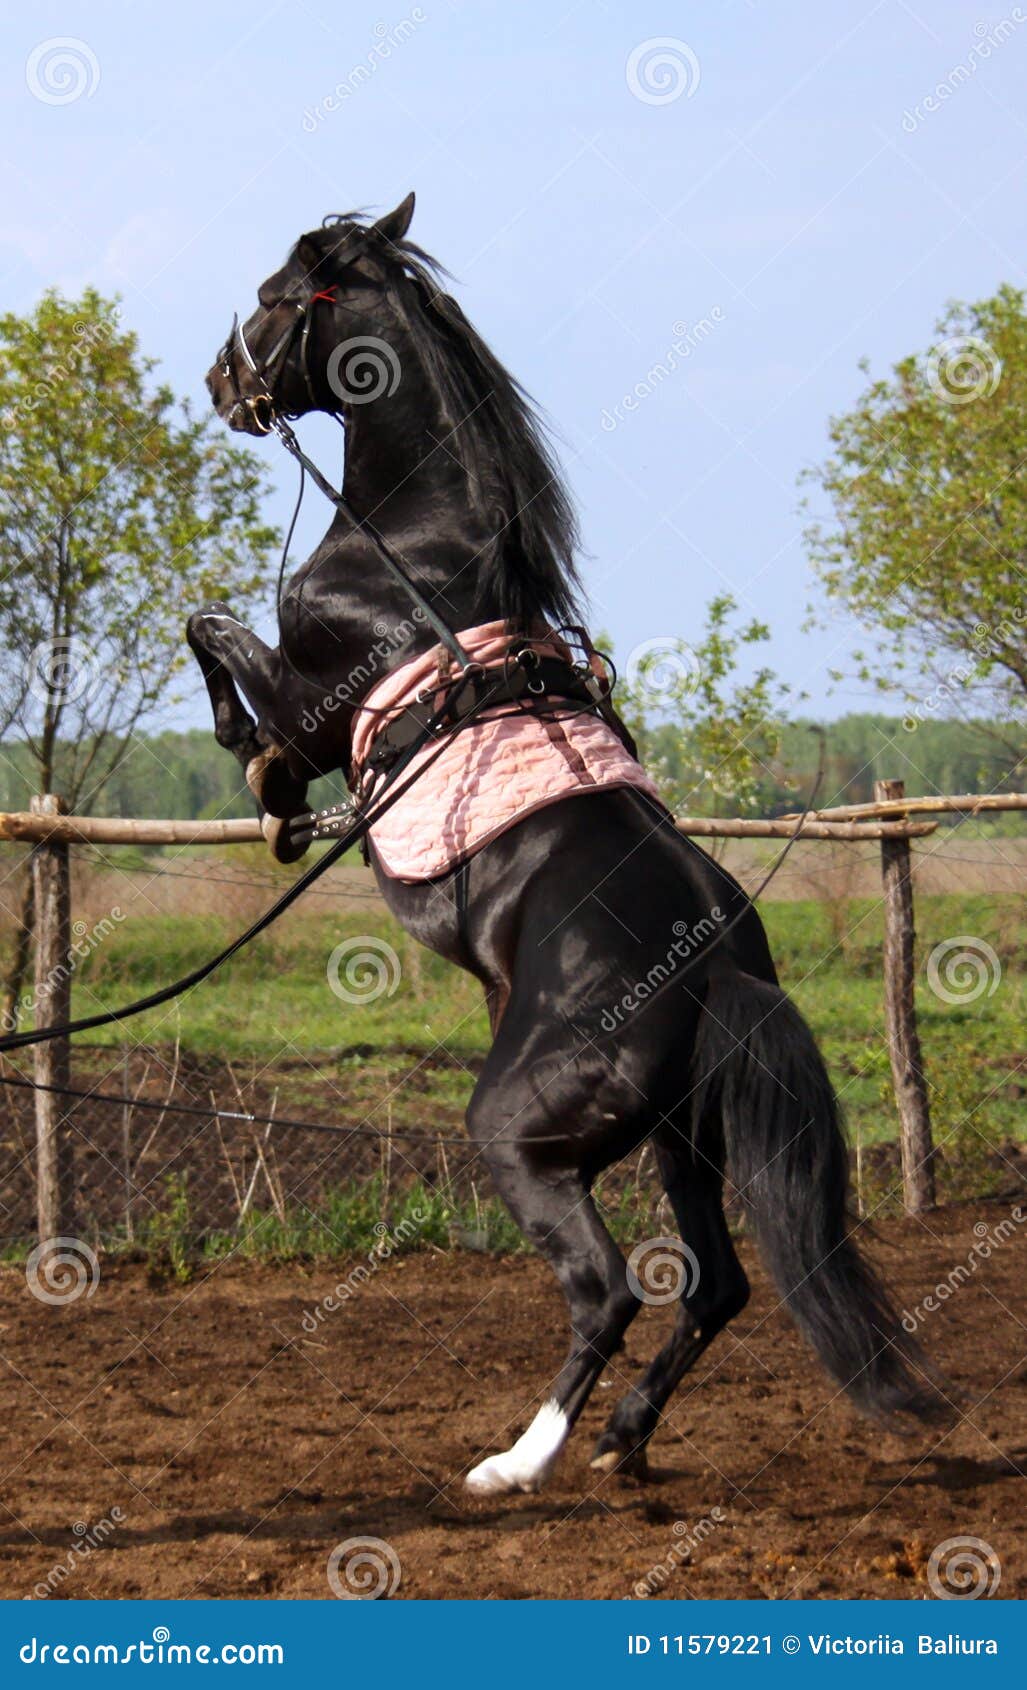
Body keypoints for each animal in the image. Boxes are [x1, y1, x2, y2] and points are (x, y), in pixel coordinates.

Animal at [188, 193, 945, 1496]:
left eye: (276, 295)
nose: (222, 381)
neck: (418, 543)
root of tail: (718, 968)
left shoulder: (314, 692)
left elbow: (219, 635)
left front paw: (266, 782)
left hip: (525, 1136)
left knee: (607, 1292)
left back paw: (517, 1461)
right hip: (683, 1144)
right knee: (716, 1285)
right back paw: (622, 1440)